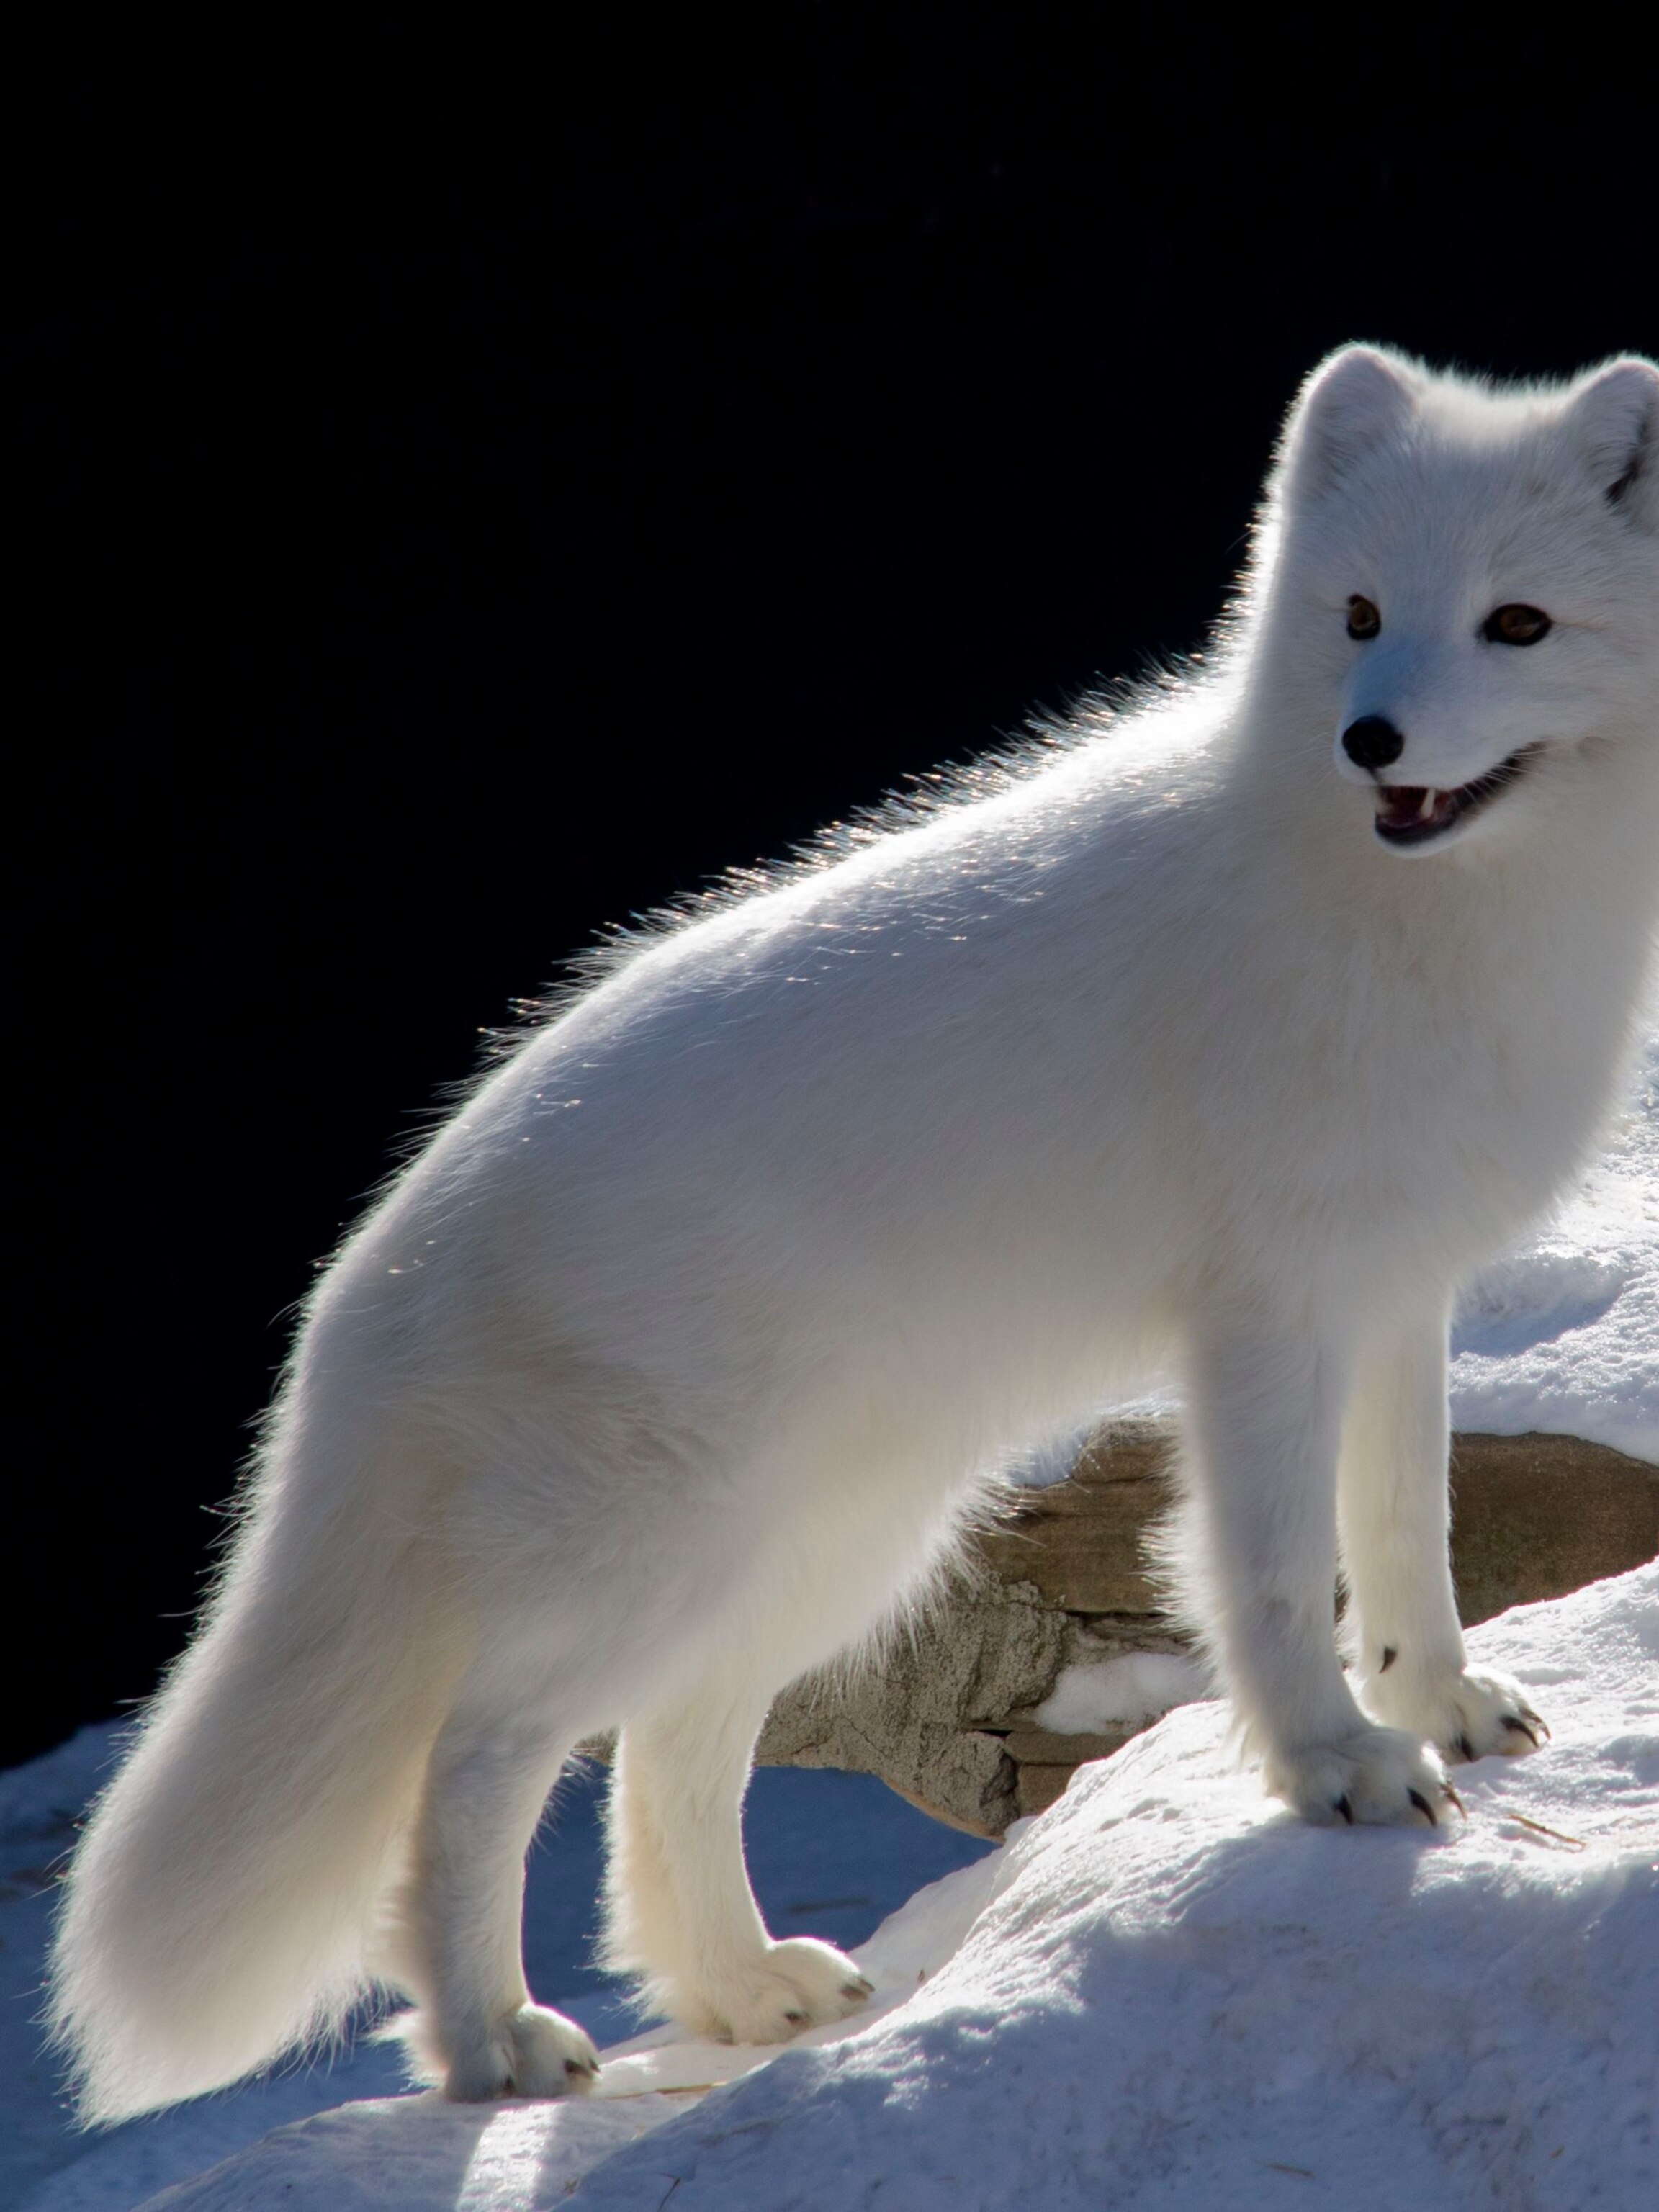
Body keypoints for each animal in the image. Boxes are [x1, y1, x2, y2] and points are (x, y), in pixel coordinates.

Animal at [51, 345, 1659, 2121]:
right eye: (1362, 611)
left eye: (1516, 624)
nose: (1370, 739)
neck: (1420, 913)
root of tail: (384, 1255)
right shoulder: (1268, 1316)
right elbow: (1267, 1573)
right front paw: (1335, 1773)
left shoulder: (1398, 1288)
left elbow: (1405, 1534)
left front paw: (1440, 1706)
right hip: (659, 1557)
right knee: (475, 1762)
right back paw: (495, 2043)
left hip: (827, 1549)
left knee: (666, 1759)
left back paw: (742, 1989)